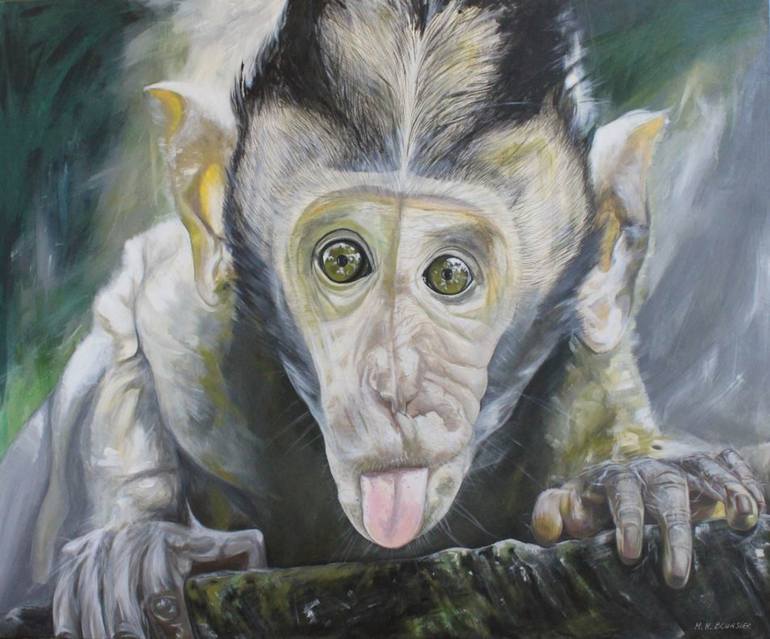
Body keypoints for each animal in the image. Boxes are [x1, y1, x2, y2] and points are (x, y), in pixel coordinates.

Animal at [0, 2, 766, 638]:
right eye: (343, 261)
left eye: (450, 276)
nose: (395, 381)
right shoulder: (193, 323)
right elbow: (132, 302)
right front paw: (139, 533)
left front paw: (635, 478)